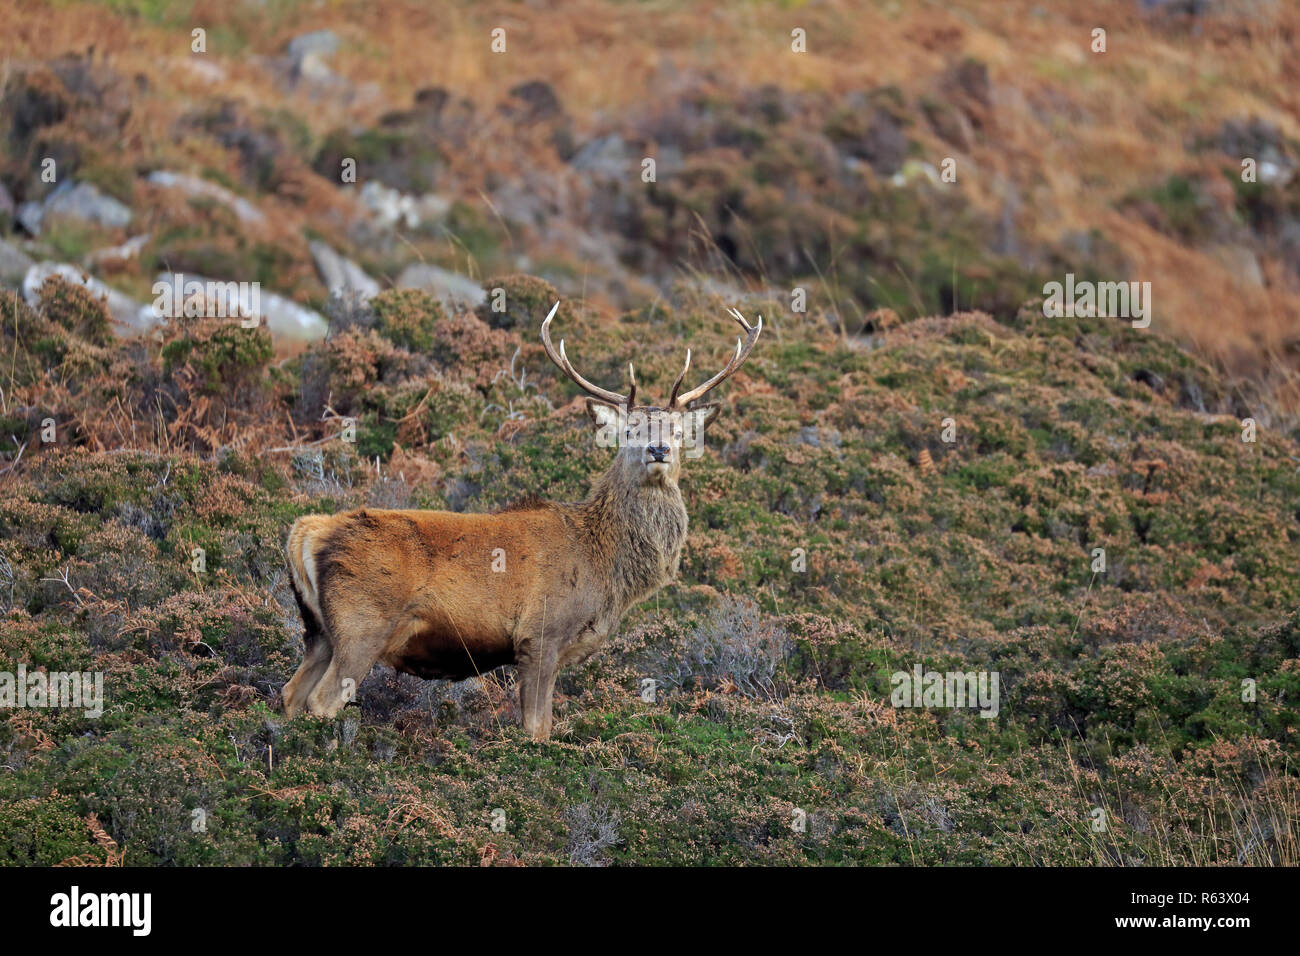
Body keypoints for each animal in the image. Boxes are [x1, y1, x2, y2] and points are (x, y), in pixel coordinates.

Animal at [280, 302, 761, 740]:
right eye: (629, 430)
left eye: (678, 432)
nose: (657, 449)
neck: (604, 566)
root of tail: (306, 533)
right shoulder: (541, 634)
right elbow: (536, 729)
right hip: (362, 623)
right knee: (322, 700)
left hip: (319, 631)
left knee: (290, 694)